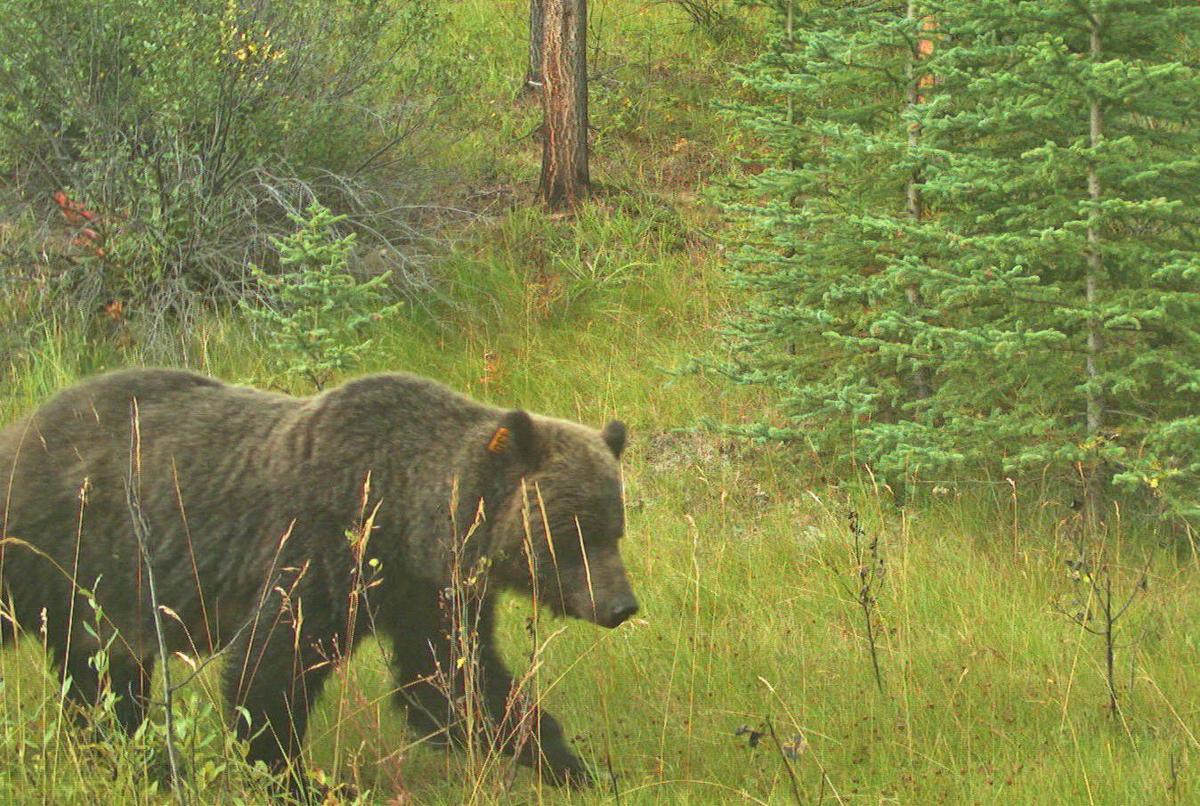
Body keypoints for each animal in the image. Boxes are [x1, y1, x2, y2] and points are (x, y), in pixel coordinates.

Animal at [0, 367, 637, 790]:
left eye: (615, 526)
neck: (408, 518)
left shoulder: (426, 592)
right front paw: (291, 778)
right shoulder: (322, 550)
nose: (621, 605)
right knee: (102, 678)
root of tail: (21, 430)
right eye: (575, 530)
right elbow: (270, 669)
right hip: (77, 562)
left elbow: (452, 684)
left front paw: (580, 766)